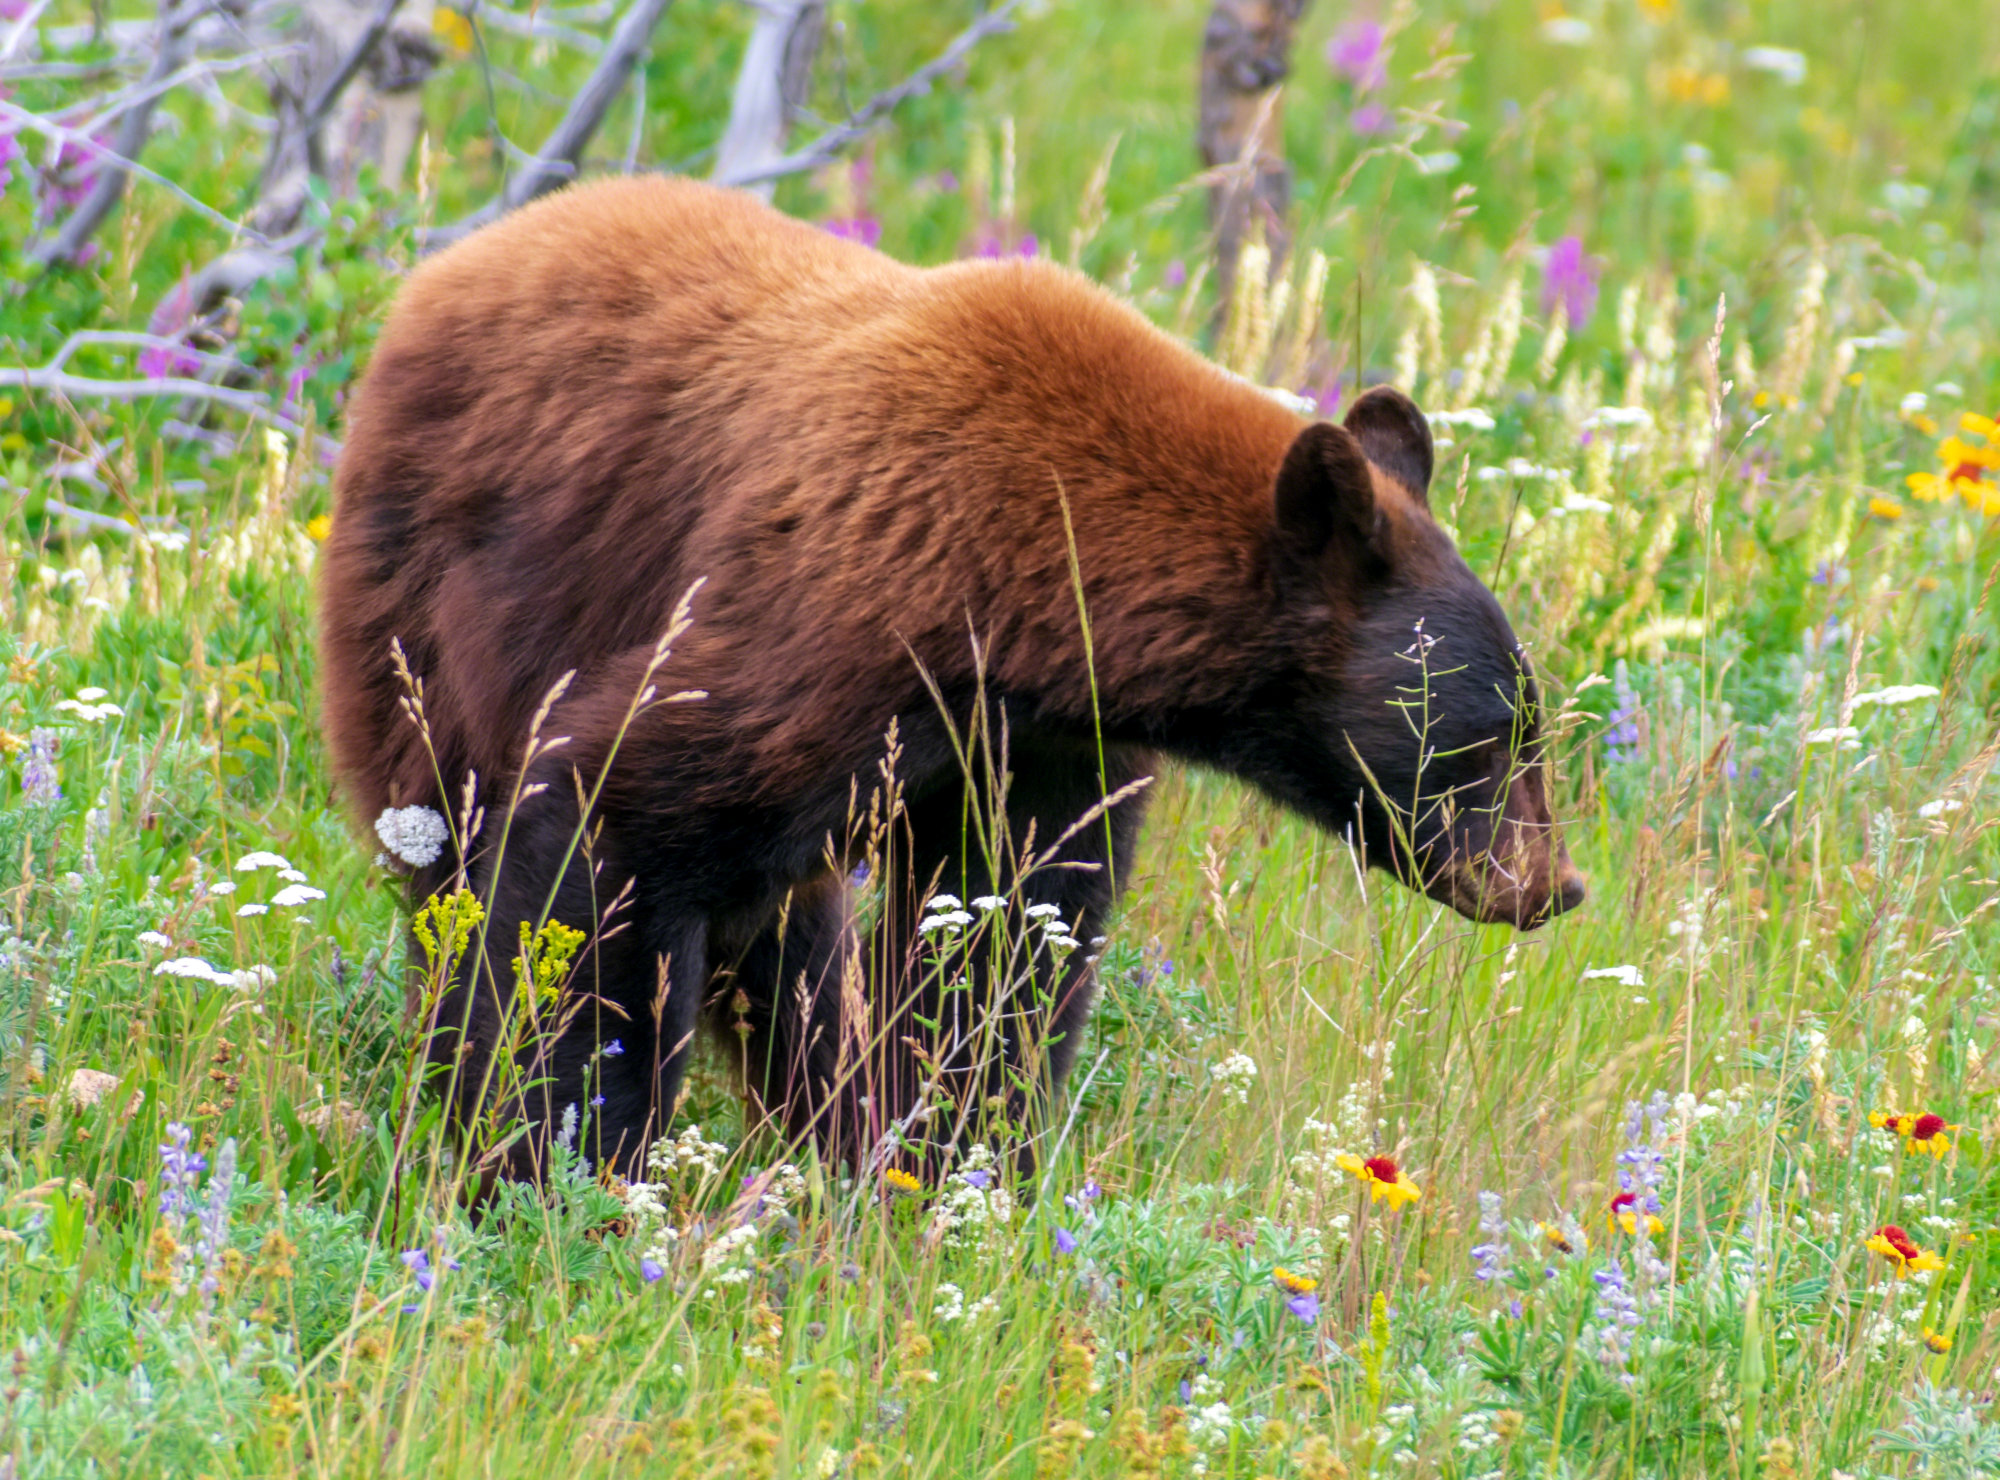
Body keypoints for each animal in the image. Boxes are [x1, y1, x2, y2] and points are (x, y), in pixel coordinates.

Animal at [318, 175, 1583, 1180]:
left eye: (1532, 728)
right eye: (1489, 737)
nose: (1552, 883)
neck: (1043, 577)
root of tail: (449, 267)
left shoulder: (1039, 743)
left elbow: (1004, 938)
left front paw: (945, 1158)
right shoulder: (844, 613)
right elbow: (611, 814)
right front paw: (547, 1157)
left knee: (787, 947)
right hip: (442, 616)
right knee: (463, 860)